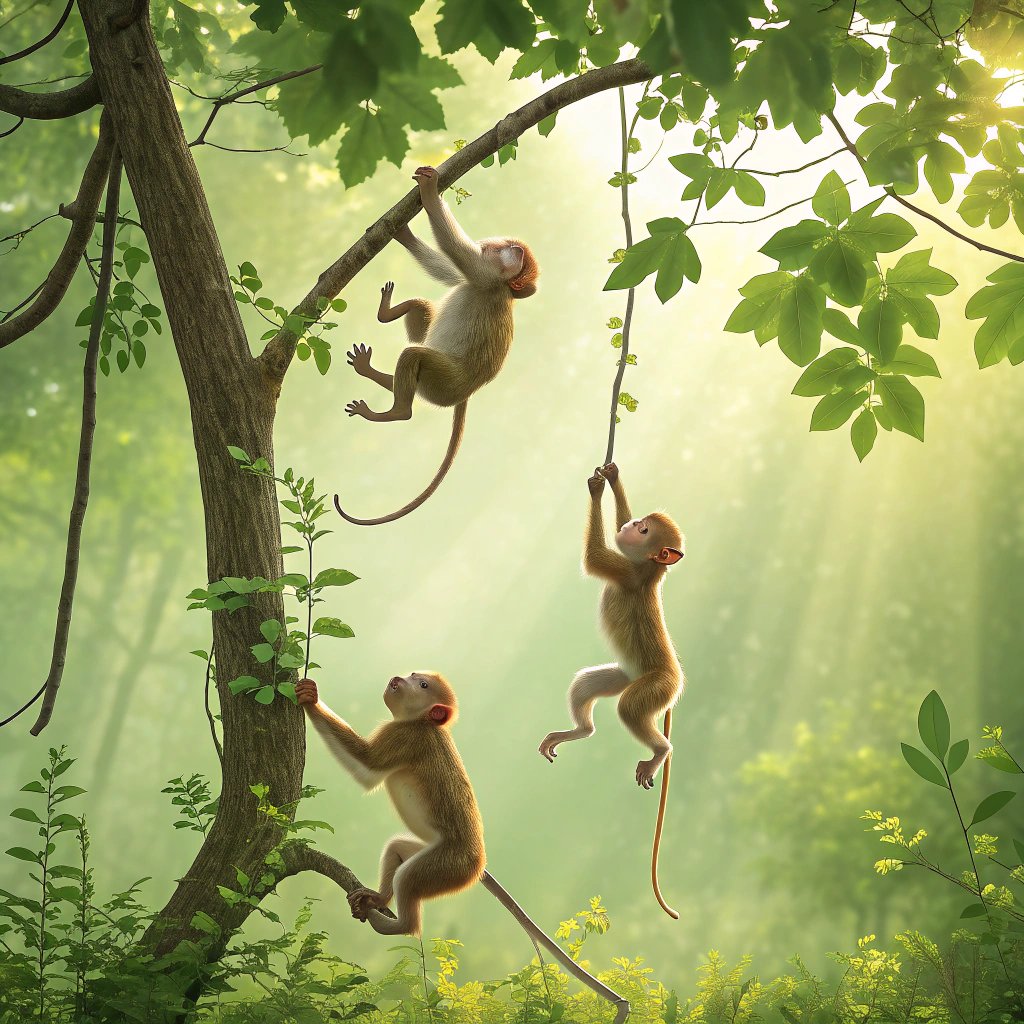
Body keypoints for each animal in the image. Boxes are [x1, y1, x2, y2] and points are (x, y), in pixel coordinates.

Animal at [295, 673, 485, 937]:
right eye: (414, 674)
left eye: (423, 685)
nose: (399, 678)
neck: (423, 722)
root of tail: (478, 863)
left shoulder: (403, 736)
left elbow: (367, 765)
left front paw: (311, 699)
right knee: (397, 847)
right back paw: (379, 898)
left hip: (451, 865)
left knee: (407, 879)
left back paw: (399, 923)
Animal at [334, 165, 539, 526]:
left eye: (514, 253)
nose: (506, 247)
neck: (505, 288)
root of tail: (466, 393)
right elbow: (448, 271)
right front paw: (404, 234)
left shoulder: (486, 276)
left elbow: (456, 252)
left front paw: (430, 194)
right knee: (421, 314)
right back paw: (379, 350)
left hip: (444, 380)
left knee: (414, 356)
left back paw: (397, 411)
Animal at [537, 462, 685, 919]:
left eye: (644, 531)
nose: (631, 526)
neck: (649, 571)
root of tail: (676, 675)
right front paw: (614, 478)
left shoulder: (624, 570)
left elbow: (594, 559)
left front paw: (597, 489)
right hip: (625, 673)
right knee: (587, 685)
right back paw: (579, 731)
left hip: (657, 685)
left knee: (630, 710)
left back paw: (660, 752)